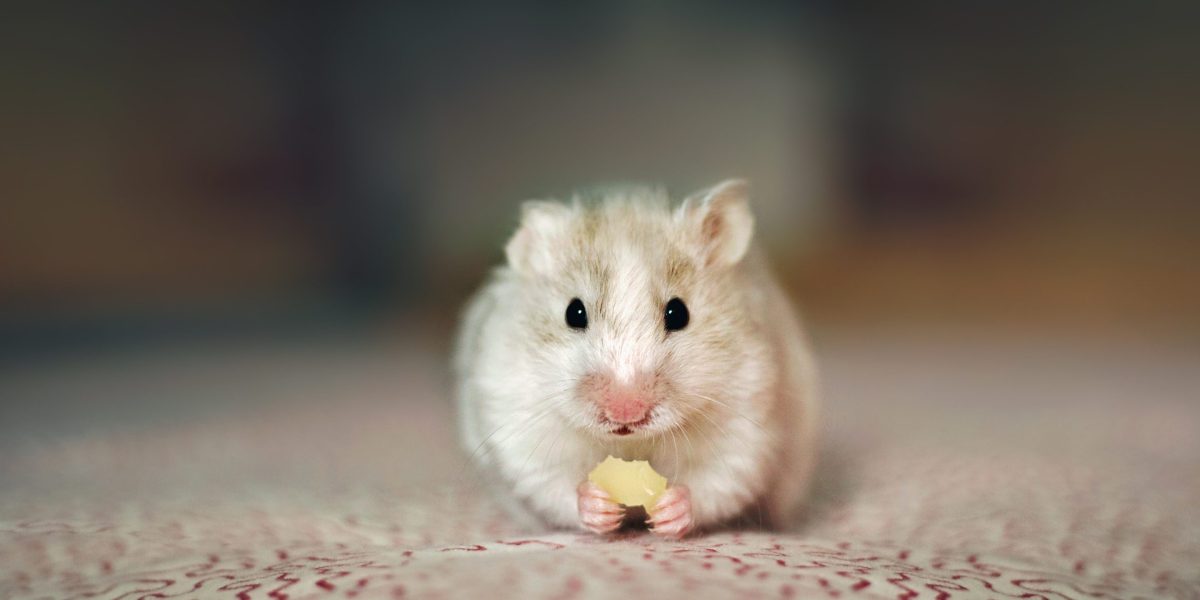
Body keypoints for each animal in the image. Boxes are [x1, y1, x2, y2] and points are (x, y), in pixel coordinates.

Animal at [454, 179, 819, 538]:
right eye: (574, 312)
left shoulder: (747, 427)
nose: (625, 413)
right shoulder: (520, 425)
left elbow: (714, 484)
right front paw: (601, 509)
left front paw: (669, 512)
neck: (631, 445)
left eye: (678, 313)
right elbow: (555, 485)